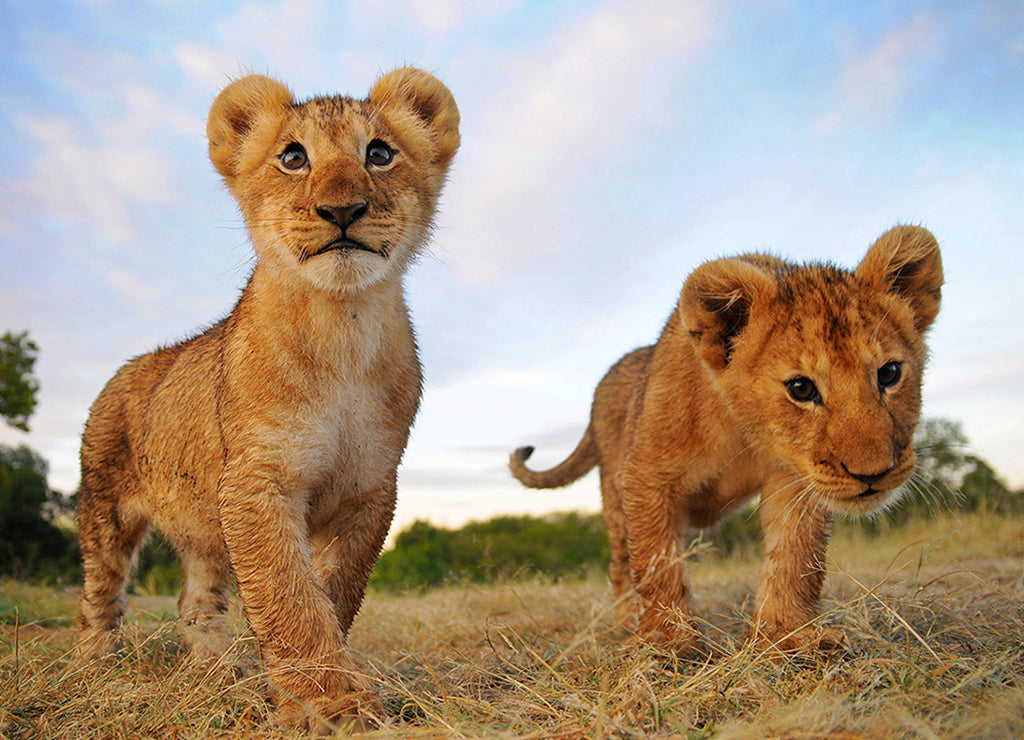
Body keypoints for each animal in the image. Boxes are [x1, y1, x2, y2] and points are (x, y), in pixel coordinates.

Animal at [76, 67, 459, 729]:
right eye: (293, 157)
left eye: (379, 153)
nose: (342, 209)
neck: (342, 330)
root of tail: (130, 365)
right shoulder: (256, 481)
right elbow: (288, 594)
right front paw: (332, 704)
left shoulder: (370, 491)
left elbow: (332, 593)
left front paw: (308, 691)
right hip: (106, 510)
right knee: (100, 591)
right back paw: (93, 668)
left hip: (204, 528)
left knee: (195, 599)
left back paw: (220, 673)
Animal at [510, 226, 943, 654]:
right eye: (801, 388)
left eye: (889, 373)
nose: (873, 473)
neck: (746, 430)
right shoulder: (647, 476)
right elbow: (656, 561)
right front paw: (666, 639)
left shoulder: (795, 478)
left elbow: (796, 555)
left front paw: (789, 632)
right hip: (614, 497)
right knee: (621, 562)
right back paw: (628, 623)